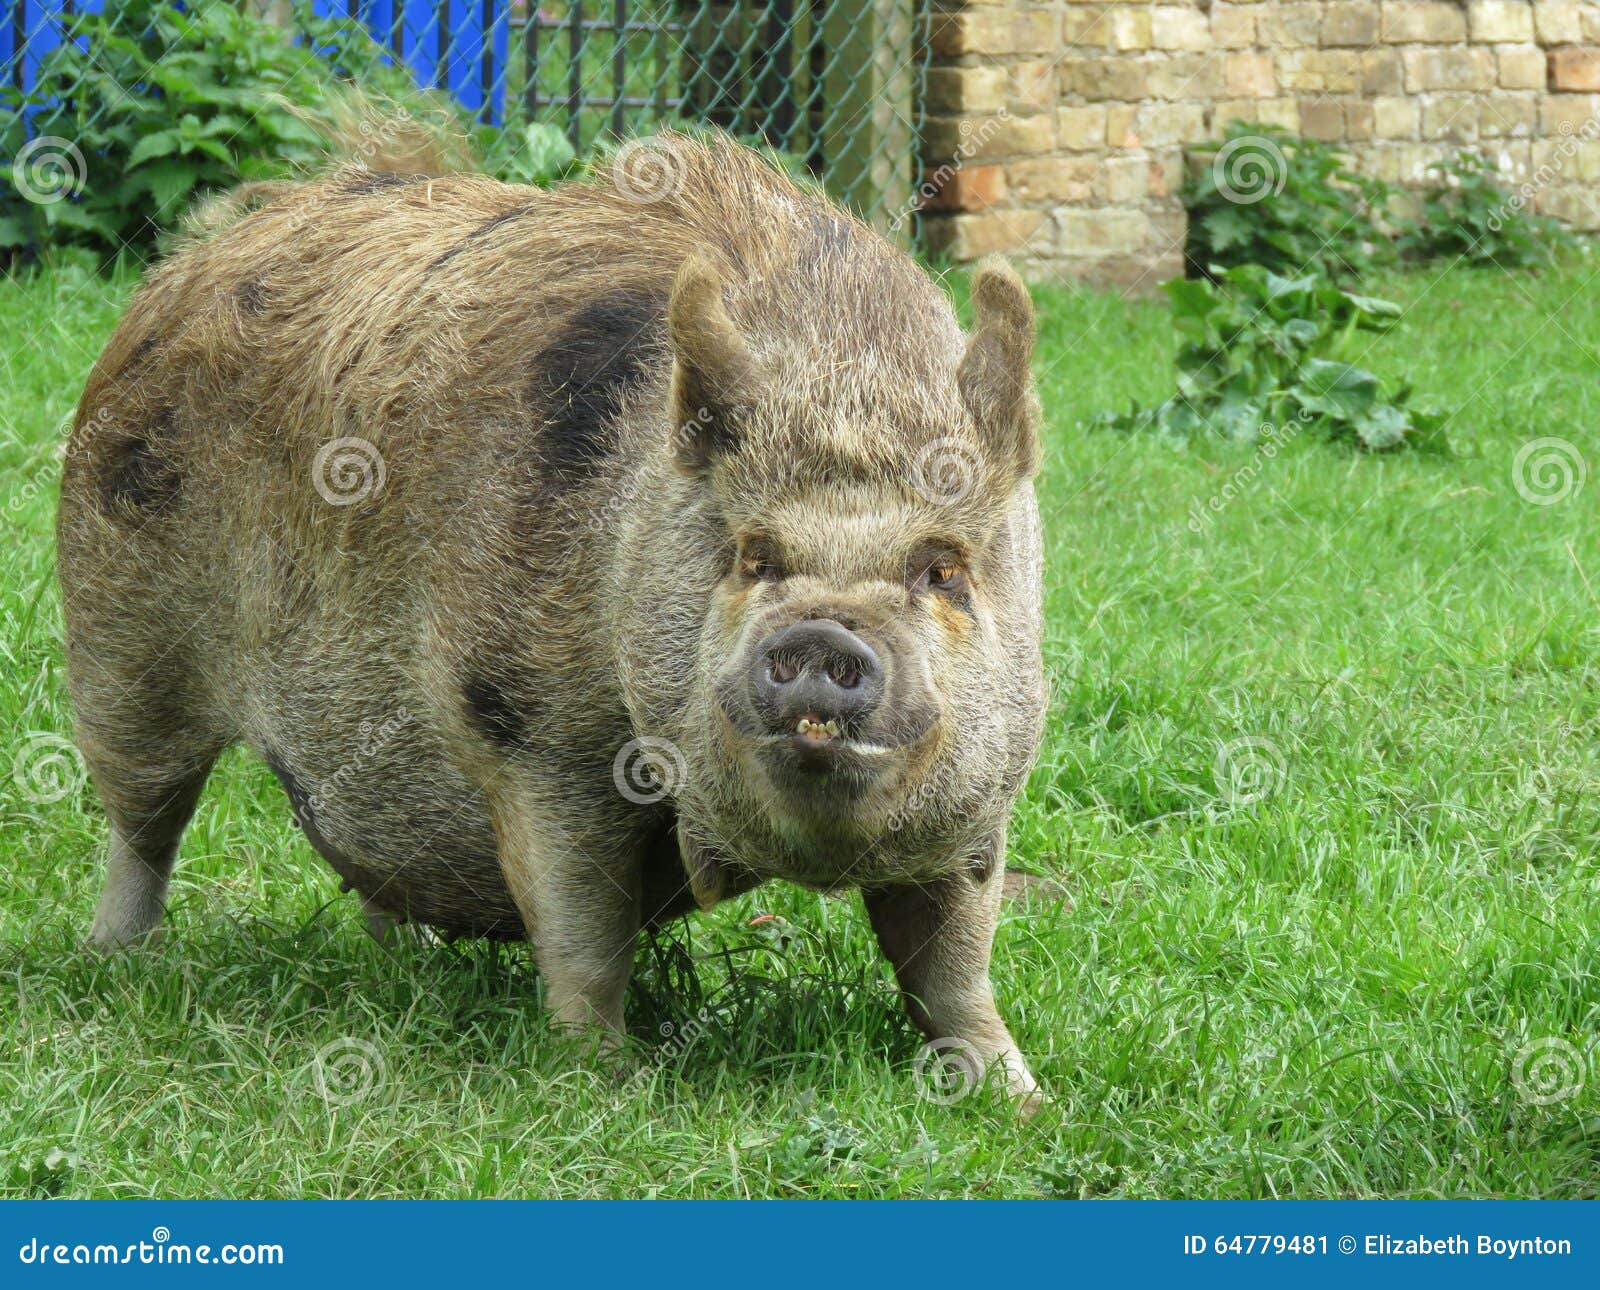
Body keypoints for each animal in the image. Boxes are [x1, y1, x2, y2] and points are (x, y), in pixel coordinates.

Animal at [56, 132, 1048, 1104]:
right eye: (752, 556)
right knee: (144, 819)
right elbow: (583, 927)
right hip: (116, 628)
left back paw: (404, 960)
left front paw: (1016, 1097)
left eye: (944, 569)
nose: (822, 631)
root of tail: (192, 262)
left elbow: (953, 956)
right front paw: (604, 1078)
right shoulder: (533, 736)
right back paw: (116, 960)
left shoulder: (986, 802)